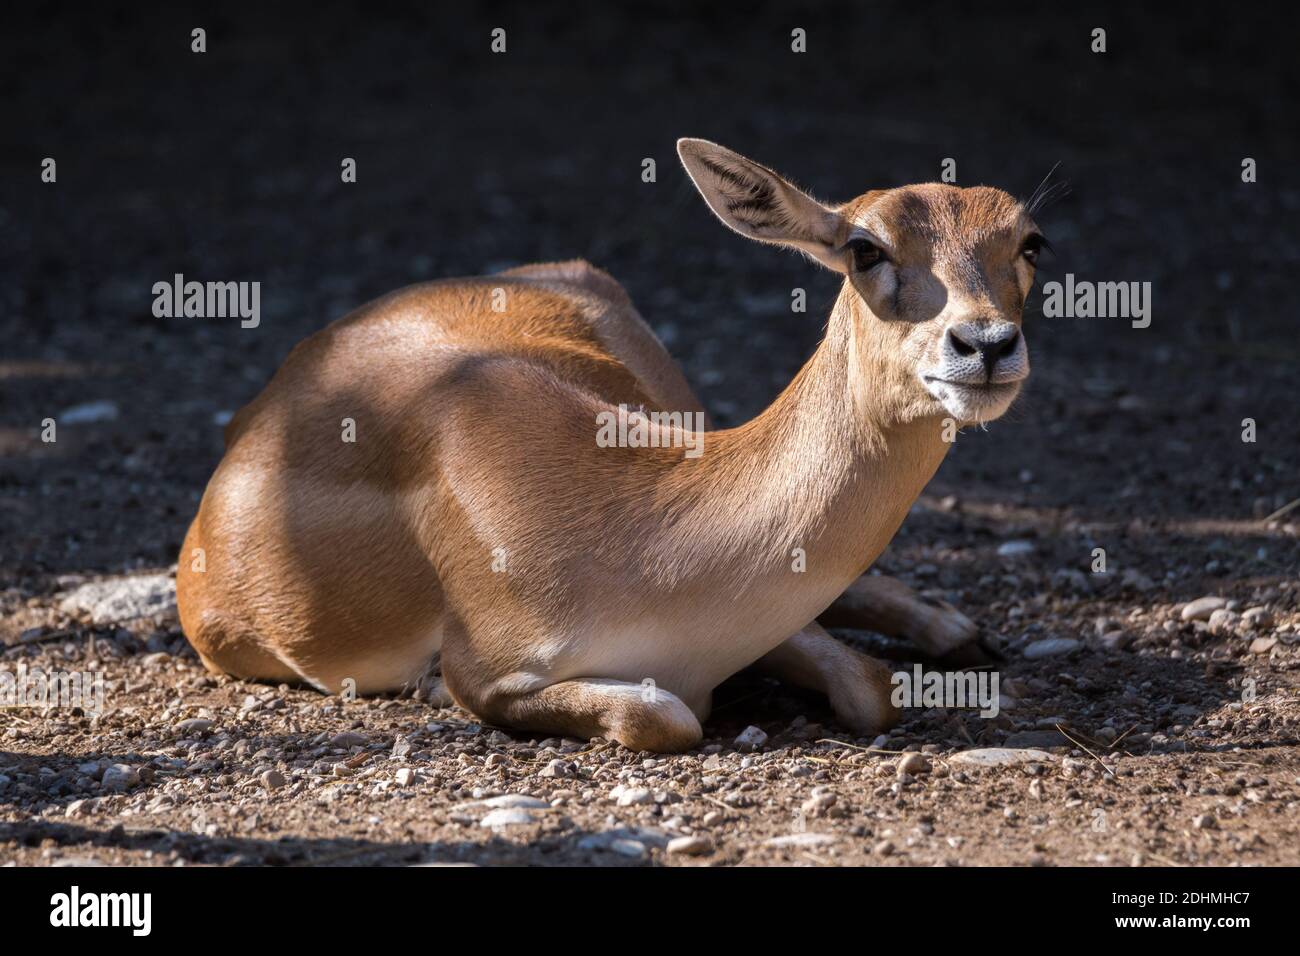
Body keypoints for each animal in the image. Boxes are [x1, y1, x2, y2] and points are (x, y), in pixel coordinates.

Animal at [177, 140, 1042, 752]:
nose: (986, 344)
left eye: (1032, 242)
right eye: (866, 247)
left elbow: (869, 685)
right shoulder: (489, 669)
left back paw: (960, 631)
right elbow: (666, 715)